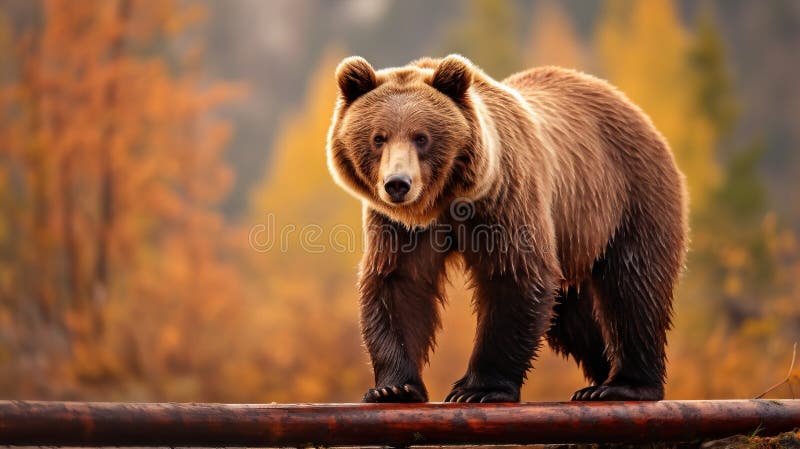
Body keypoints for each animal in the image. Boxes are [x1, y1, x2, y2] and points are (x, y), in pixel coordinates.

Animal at [326, 54, 688, 403]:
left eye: (421, 137)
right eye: (378, 137)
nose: (398, 184)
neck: (446, 199)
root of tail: (631, 106)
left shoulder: (505, 196)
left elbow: (515, 274)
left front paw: (478, 388)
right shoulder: (399, 227)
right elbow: (398, 284)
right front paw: (393, 388)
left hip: (629, 196)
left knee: (633, 288)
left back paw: (624, 384)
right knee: (573, 318)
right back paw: (600, 376)